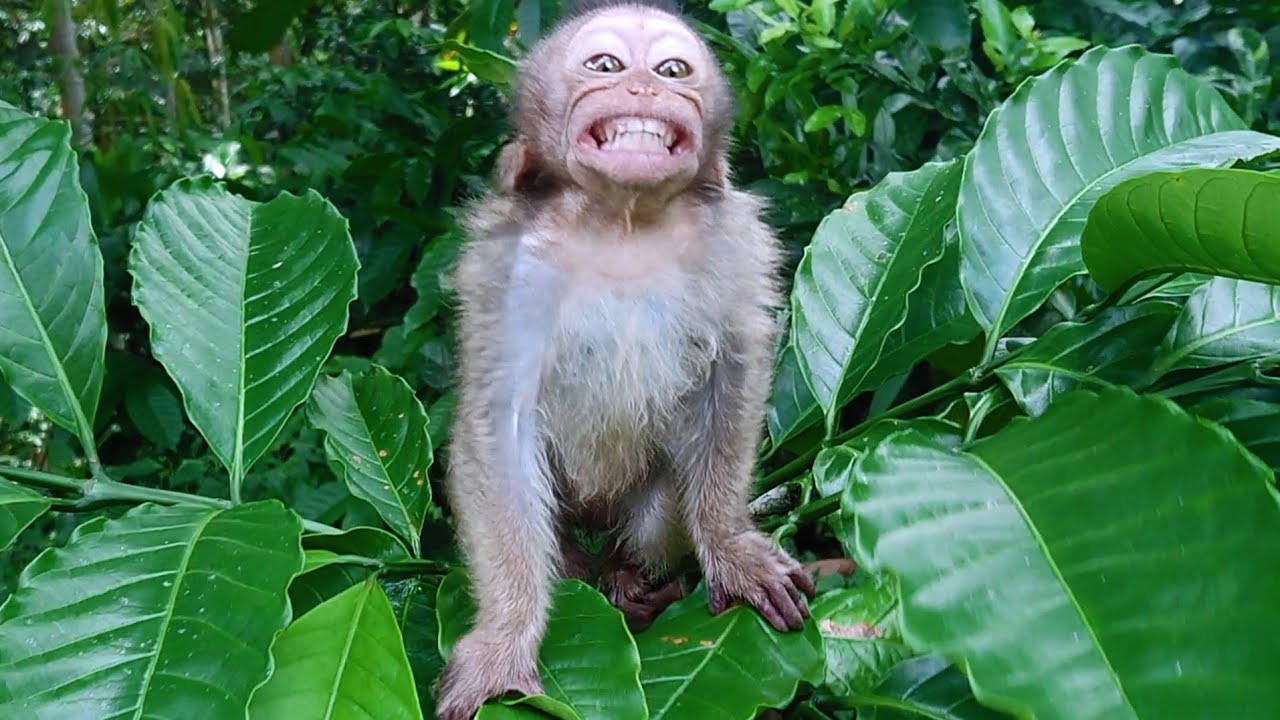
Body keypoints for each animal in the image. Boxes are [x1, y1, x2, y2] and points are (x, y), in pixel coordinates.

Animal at [434, 1, 816, 717]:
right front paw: (504, 639)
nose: (643, 89)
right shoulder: (506, 263)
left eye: (672, 71)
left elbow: (732, 371)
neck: (623, 221)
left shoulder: (735, 241)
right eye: (606, 65)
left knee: (658, 510)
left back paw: (628, 580)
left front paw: (729, 546)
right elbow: (499, 421)